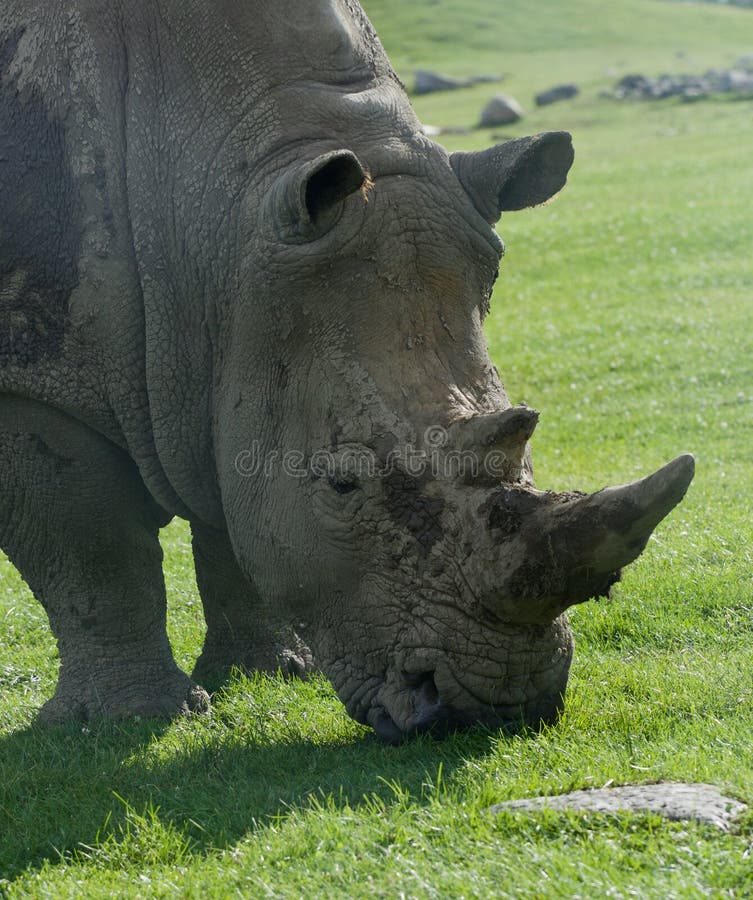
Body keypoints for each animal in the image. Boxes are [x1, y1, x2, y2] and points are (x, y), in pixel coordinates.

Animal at [0, 0, 694, 742]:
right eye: (342, 484)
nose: (499, 706)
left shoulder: (228, 340)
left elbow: (235, 516)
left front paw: (271, 673)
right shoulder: (30, 376)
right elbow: (92, 547)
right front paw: (129, 722)